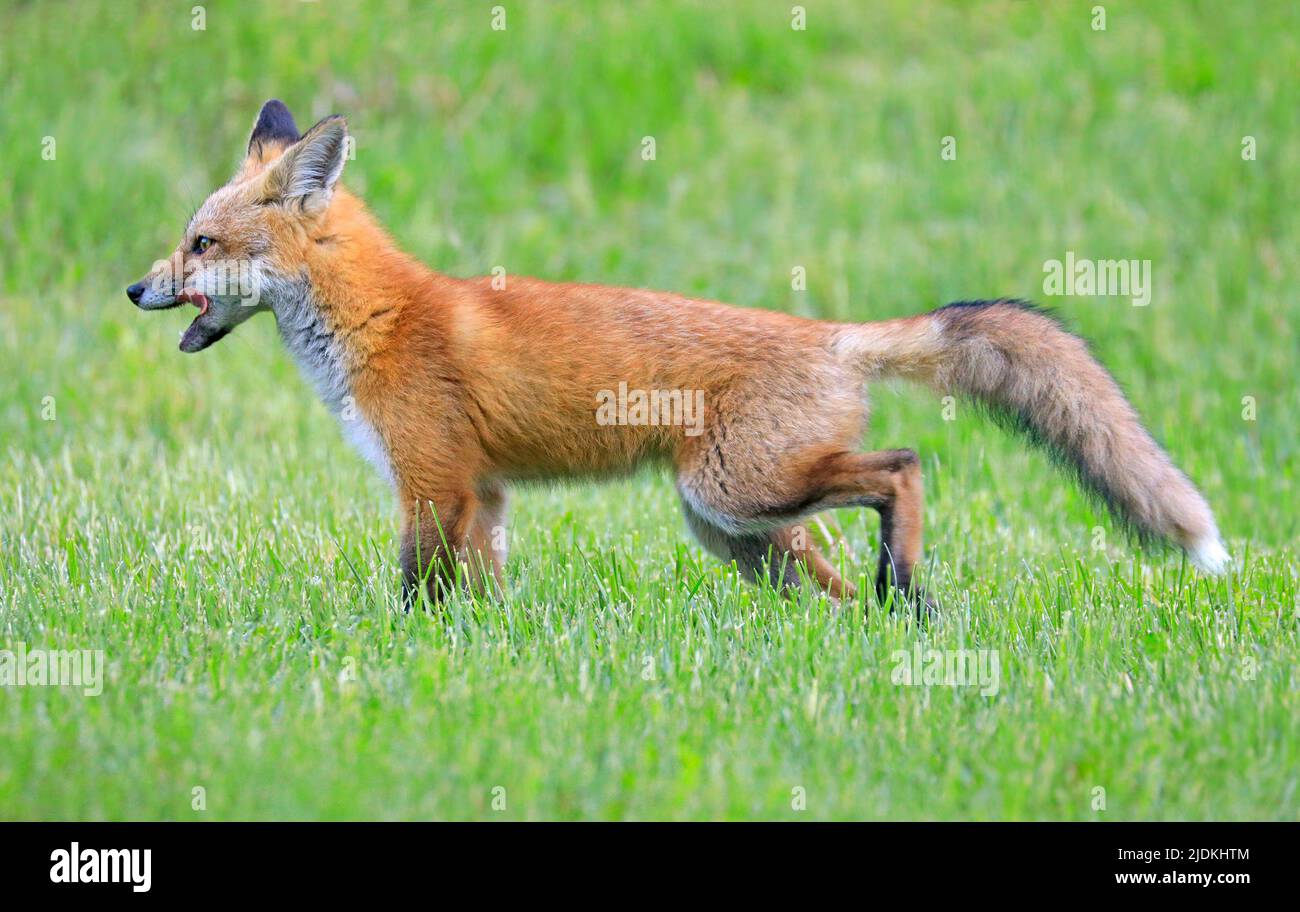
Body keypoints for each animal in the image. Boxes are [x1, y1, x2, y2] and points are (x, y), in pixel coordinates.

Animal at [128, 99, 1229, 611]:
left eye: (200, 244)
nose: (135, 290)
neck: (382, 318)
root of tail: (830, 335)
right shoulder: (483, 492)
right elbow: (478, 596)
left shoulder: (431, 479)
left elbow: (414, 591)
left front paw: (406, 659)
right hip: (738, 527)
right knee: (834, 588)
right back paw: (876, 628)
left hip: (738, 490)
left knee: (903, 468)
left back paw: (904, 587)